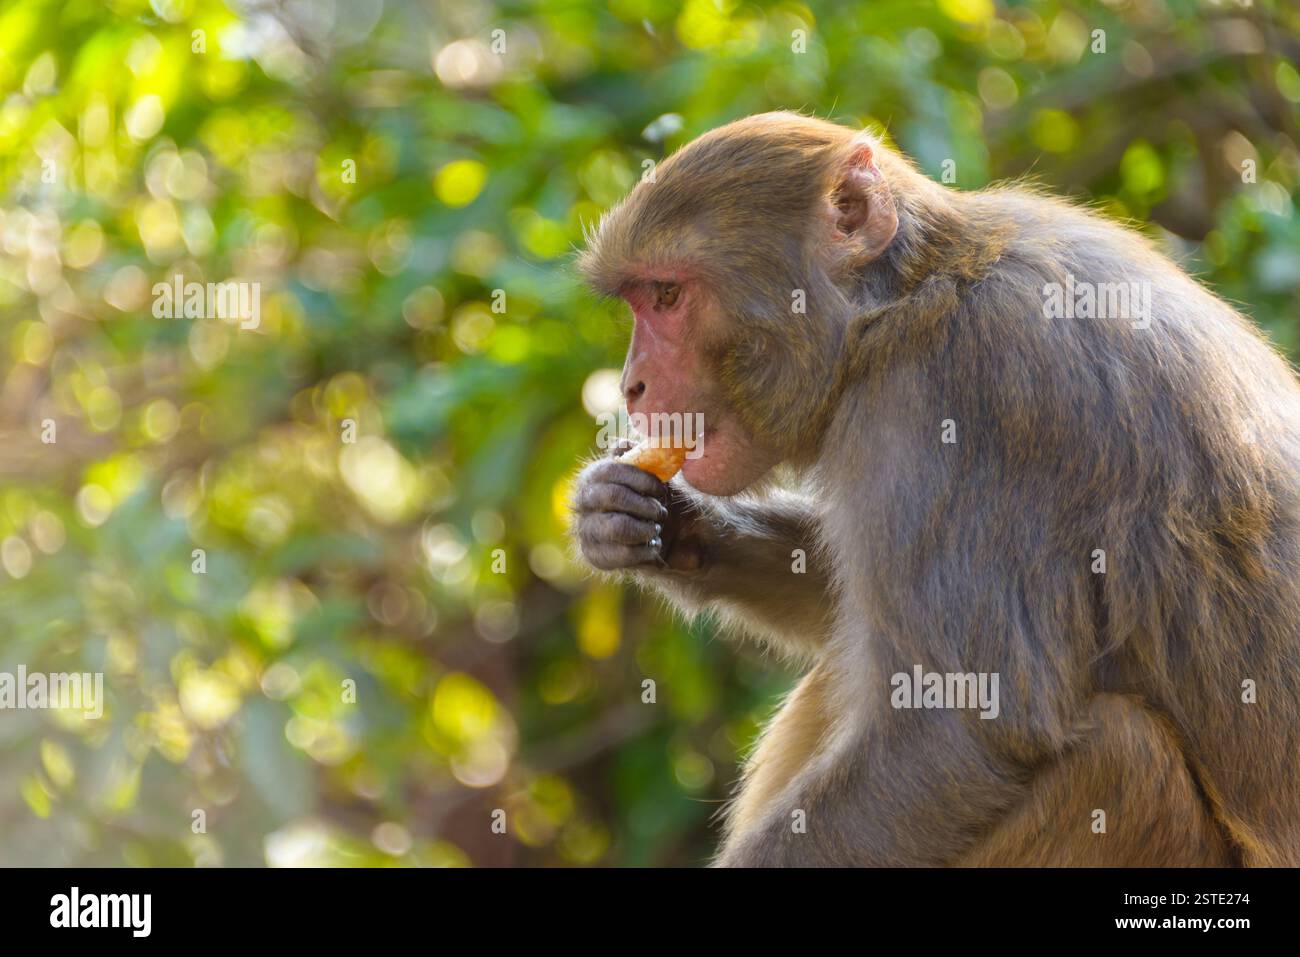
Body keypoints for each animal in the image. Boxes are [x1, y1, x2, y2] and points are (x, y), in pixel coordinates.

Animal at [571, 111, 1300, 867]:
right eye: (640, 299)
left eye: (667, 296)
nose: (631, 384)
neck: (909, 299)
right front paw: (640, 516)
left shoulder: (958, 392)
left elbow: (958, 729)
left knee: (1118, 753)